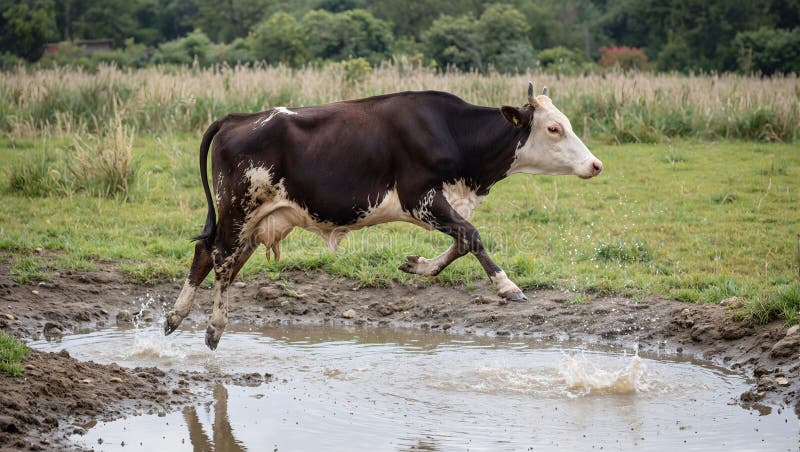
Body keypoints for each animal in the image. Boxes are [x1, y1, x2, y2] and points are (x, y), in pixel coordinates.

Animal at [164, 82, 603, 350]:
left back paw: (176, 316)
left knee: (211, 255)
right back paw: (213, 327)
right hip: (239, 208)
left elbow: (461, 241)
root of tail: (236, 117)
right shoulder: (419, 198)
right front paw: (507, 286)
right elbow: (473, 235)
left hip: (257, 220)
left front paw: (417, 265)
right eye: (553, 128)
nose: (595, 164)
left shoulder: (436, 205)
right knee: (220, 258)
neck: (451, 132)